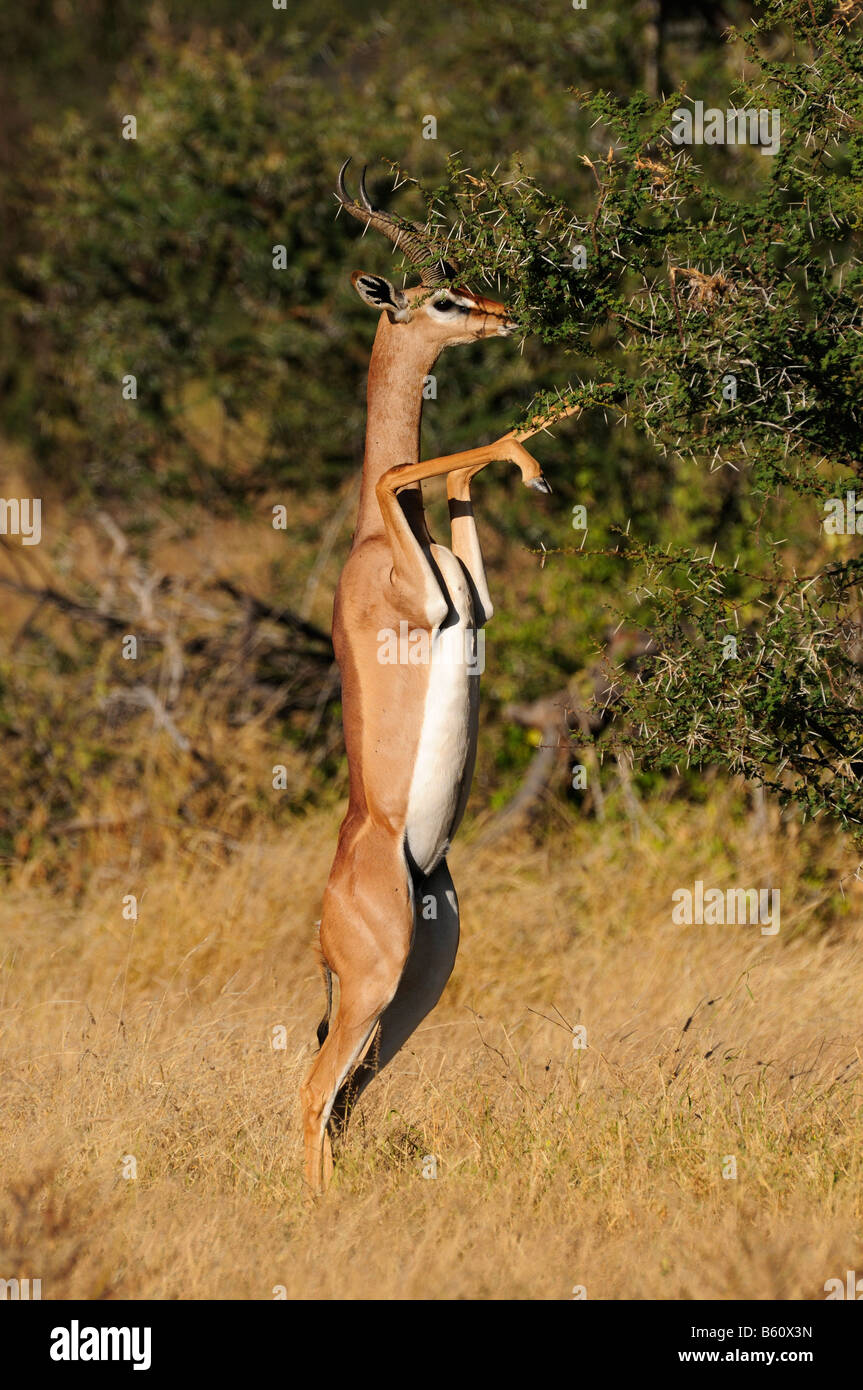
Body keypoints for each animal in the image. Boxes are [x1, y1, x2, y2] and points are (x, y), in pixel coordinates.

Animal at [300, 160, 572, 1193]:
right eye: (441, 299)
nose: (501, 314)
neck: (374, 547)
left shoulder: (476, 605)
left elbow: (445, 478)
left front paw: (546, 432)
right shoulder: (429, 604)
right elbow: (406, 469)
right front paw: (532, 449)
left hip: (417, 985)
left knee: (341, 1101)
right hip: (375, 983)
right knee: (310, 1094)